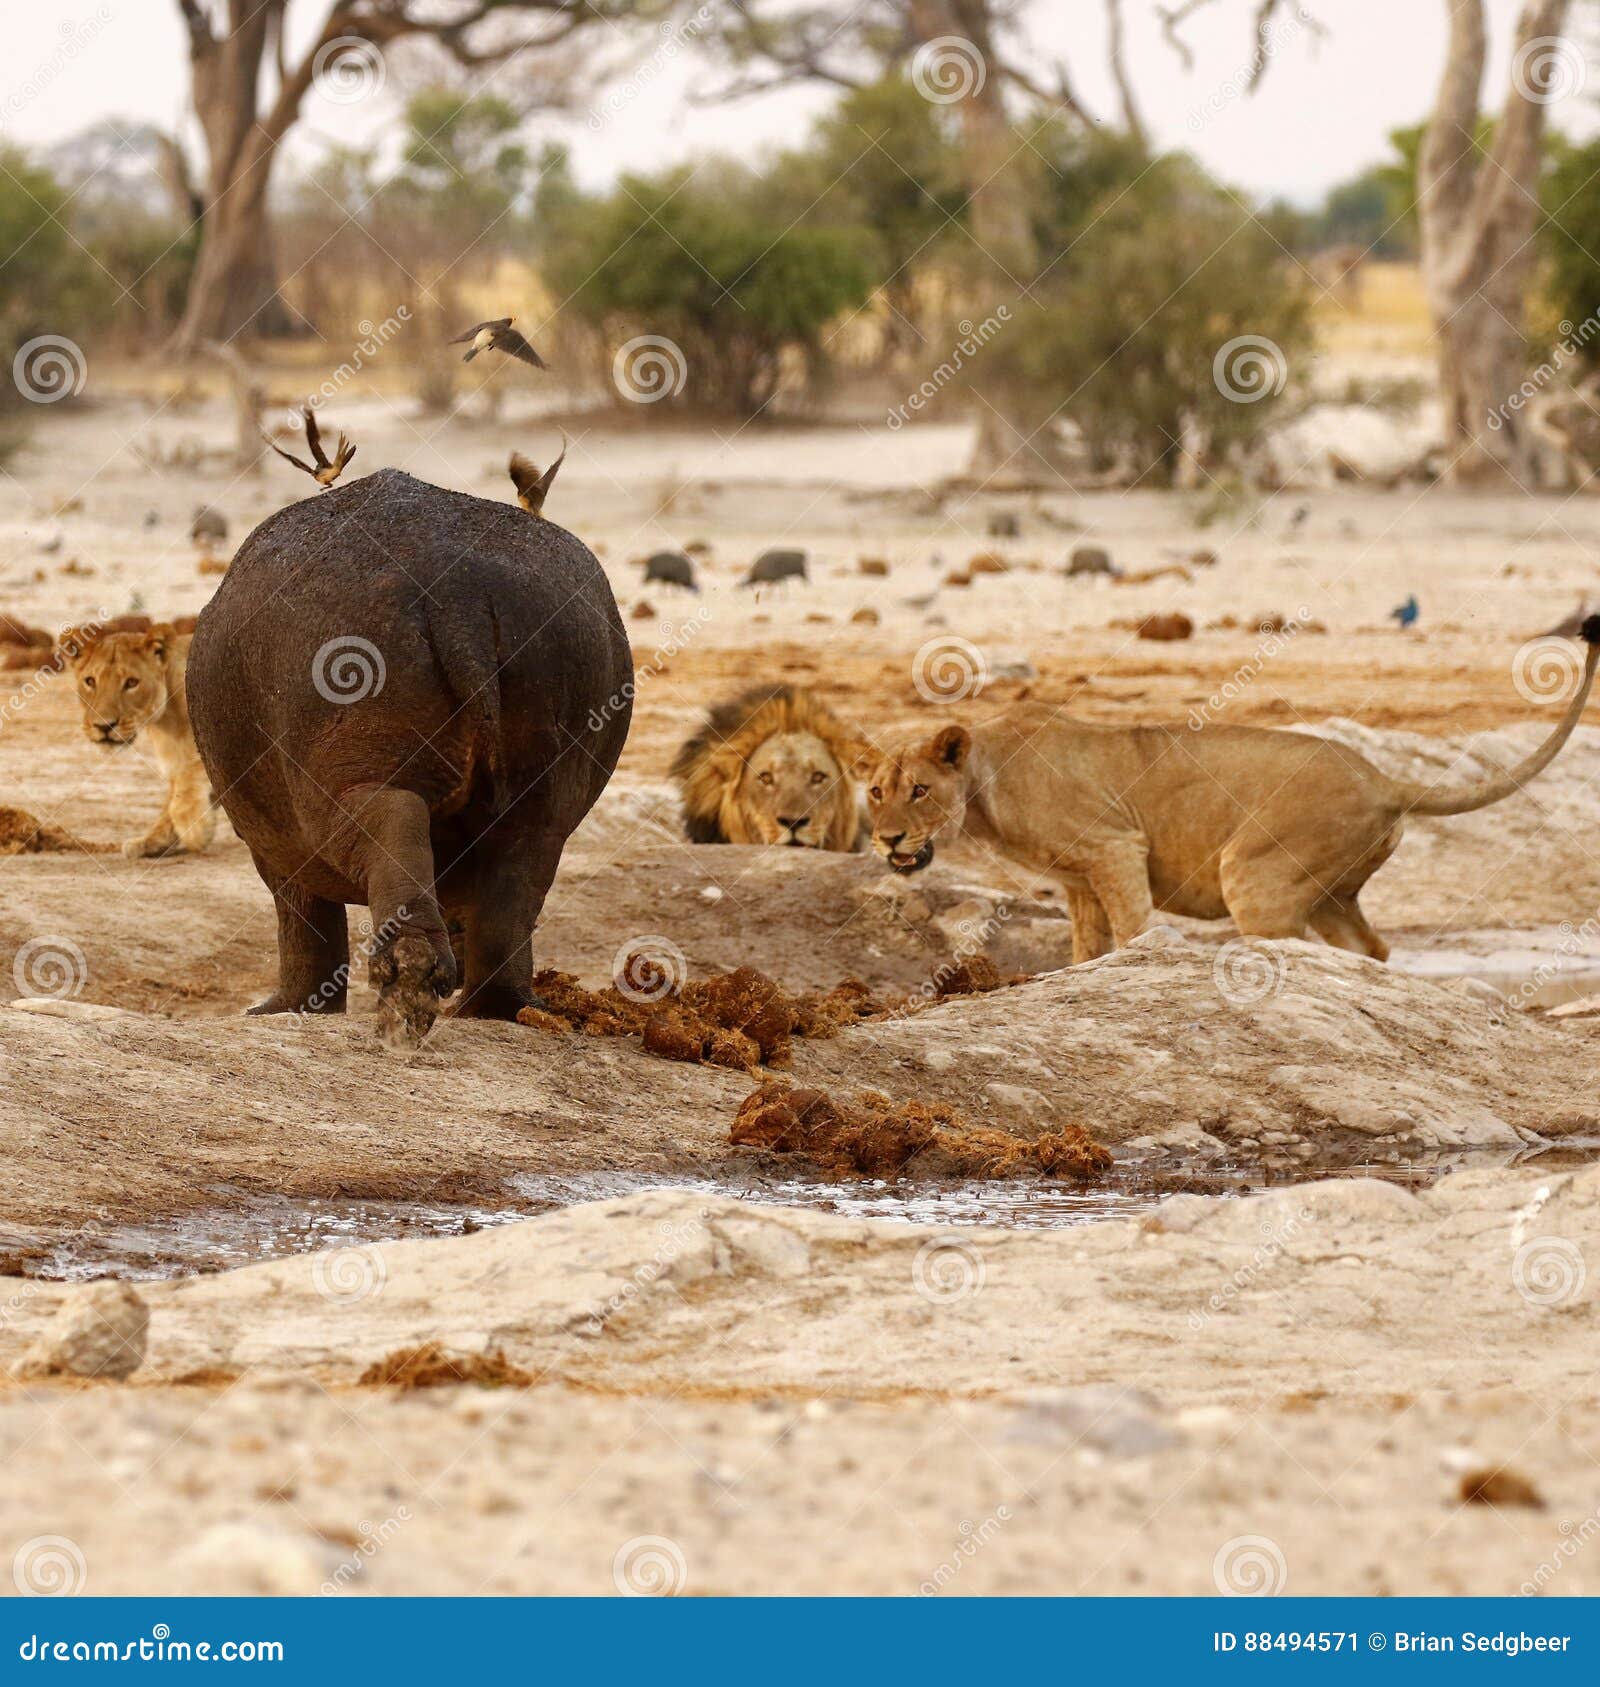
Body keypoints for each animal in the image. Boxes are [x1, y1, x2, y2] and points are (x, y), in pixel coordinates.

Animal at [187, 468, 632, 1046]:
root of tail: (456, 589)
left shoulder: (273, 844)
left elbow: (304, 920)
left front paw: (280, 1012)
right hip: (545, 784)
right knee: (516, 881)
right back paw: (492, 1008)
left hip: (345, 770)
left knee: (390, 822)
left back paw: (409, 984)